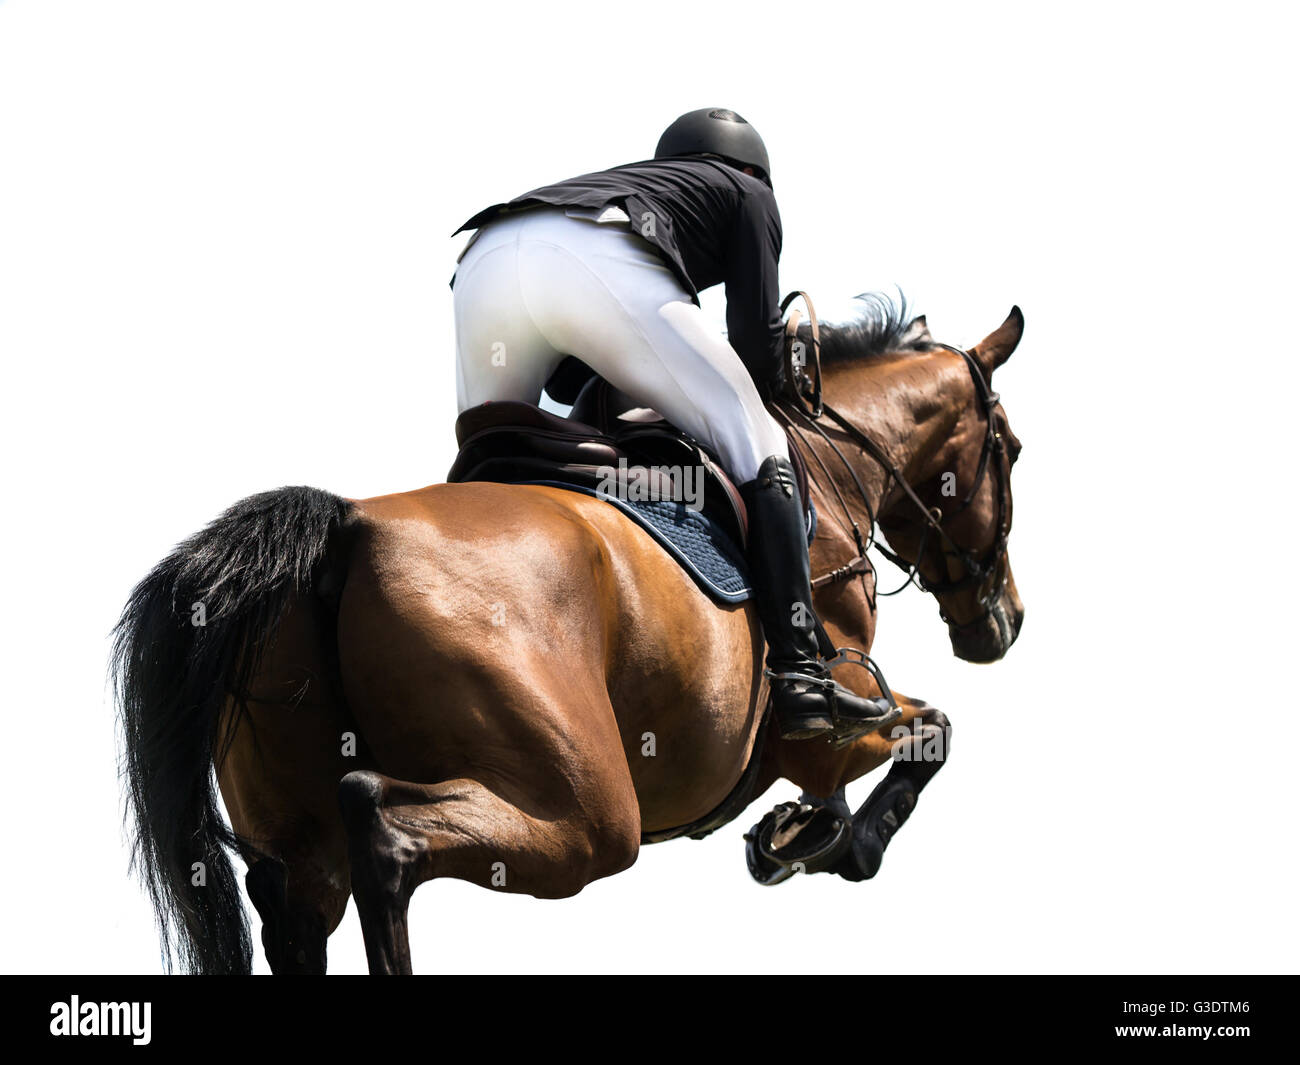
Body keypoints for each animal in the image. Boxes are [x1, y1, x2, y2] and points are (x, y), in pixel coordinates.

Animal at [112, 295, 1025, 974]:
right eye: (1011, 449)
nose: (1004, 622)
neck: (830, 471)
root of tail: (342, 527)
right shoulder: (832, 724)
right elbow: (933, 733)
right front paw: (828, 841)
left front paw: (794, 833)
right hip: (585, 814)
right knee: (384, 830)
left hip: (299, 826)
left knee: (295, 900)